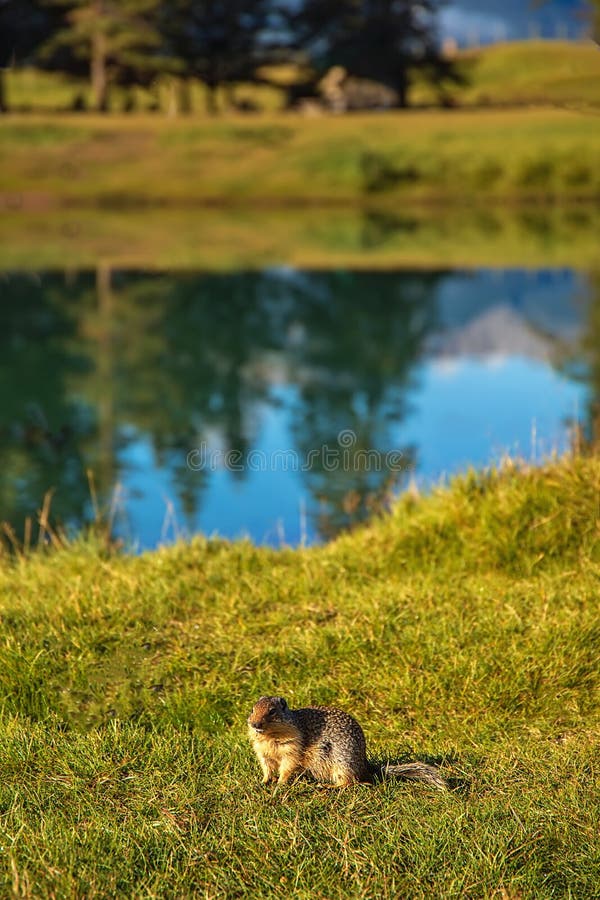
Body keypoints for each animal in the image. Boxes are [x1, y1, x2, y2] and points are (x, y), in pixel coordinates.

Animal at [247, 696, 446, 790]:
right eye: (252, 709)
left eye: (272, 711)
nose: (254, 724)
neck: (270, 737)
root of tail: (365, 765)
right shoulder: (263, 753)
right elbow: (267, 768)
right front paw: (264, 780)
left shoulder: (292, 749)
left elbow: (287, 767)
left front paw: (280, 783)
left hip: (342, 763)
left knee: (350, 782)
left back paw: (327, 786)